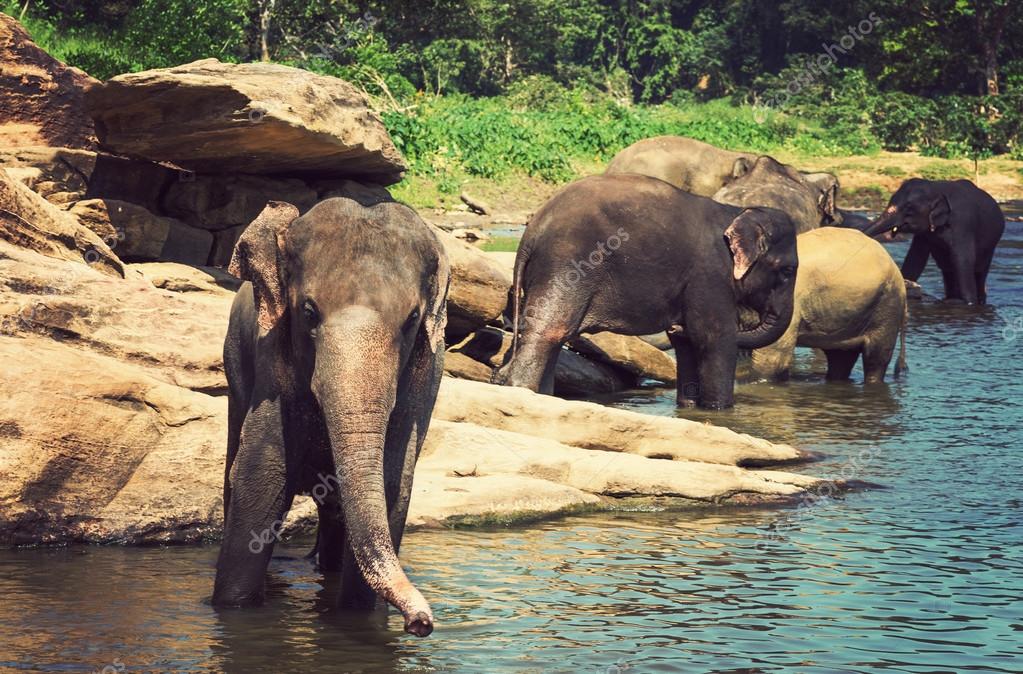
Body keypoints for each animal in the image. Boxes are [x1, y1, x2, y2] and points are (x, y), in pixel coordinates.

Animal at [212, 197, 450, 639]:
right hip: (233, 361)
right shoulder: (272, 355)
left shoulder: (428, 372)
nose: (421, 624)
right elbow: (262, 476)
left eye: (412, 319)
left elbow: (394, 481)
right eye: (308, 312)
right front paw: (233, 608)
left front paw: (360, 619)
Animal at [492, 174, 798, 410]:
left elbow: (687, 343)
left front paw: (690, 407)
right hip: (566, 264)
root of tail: (530, 234)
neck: (736, 211)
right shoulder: (711, 274)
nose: (674, 324)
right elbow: (713, 338)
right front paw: (719, 411)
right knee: (549, 332)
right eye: (787, 271)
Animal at [863, 179, 1005, 305]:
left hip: (990, 248)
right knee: (949, 272)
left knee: (979, 273)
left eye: (909, 208)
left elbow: (963, 260)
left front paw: (969, 302)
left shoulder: (963, 224)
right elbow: (915, 257)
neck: (936, 187)